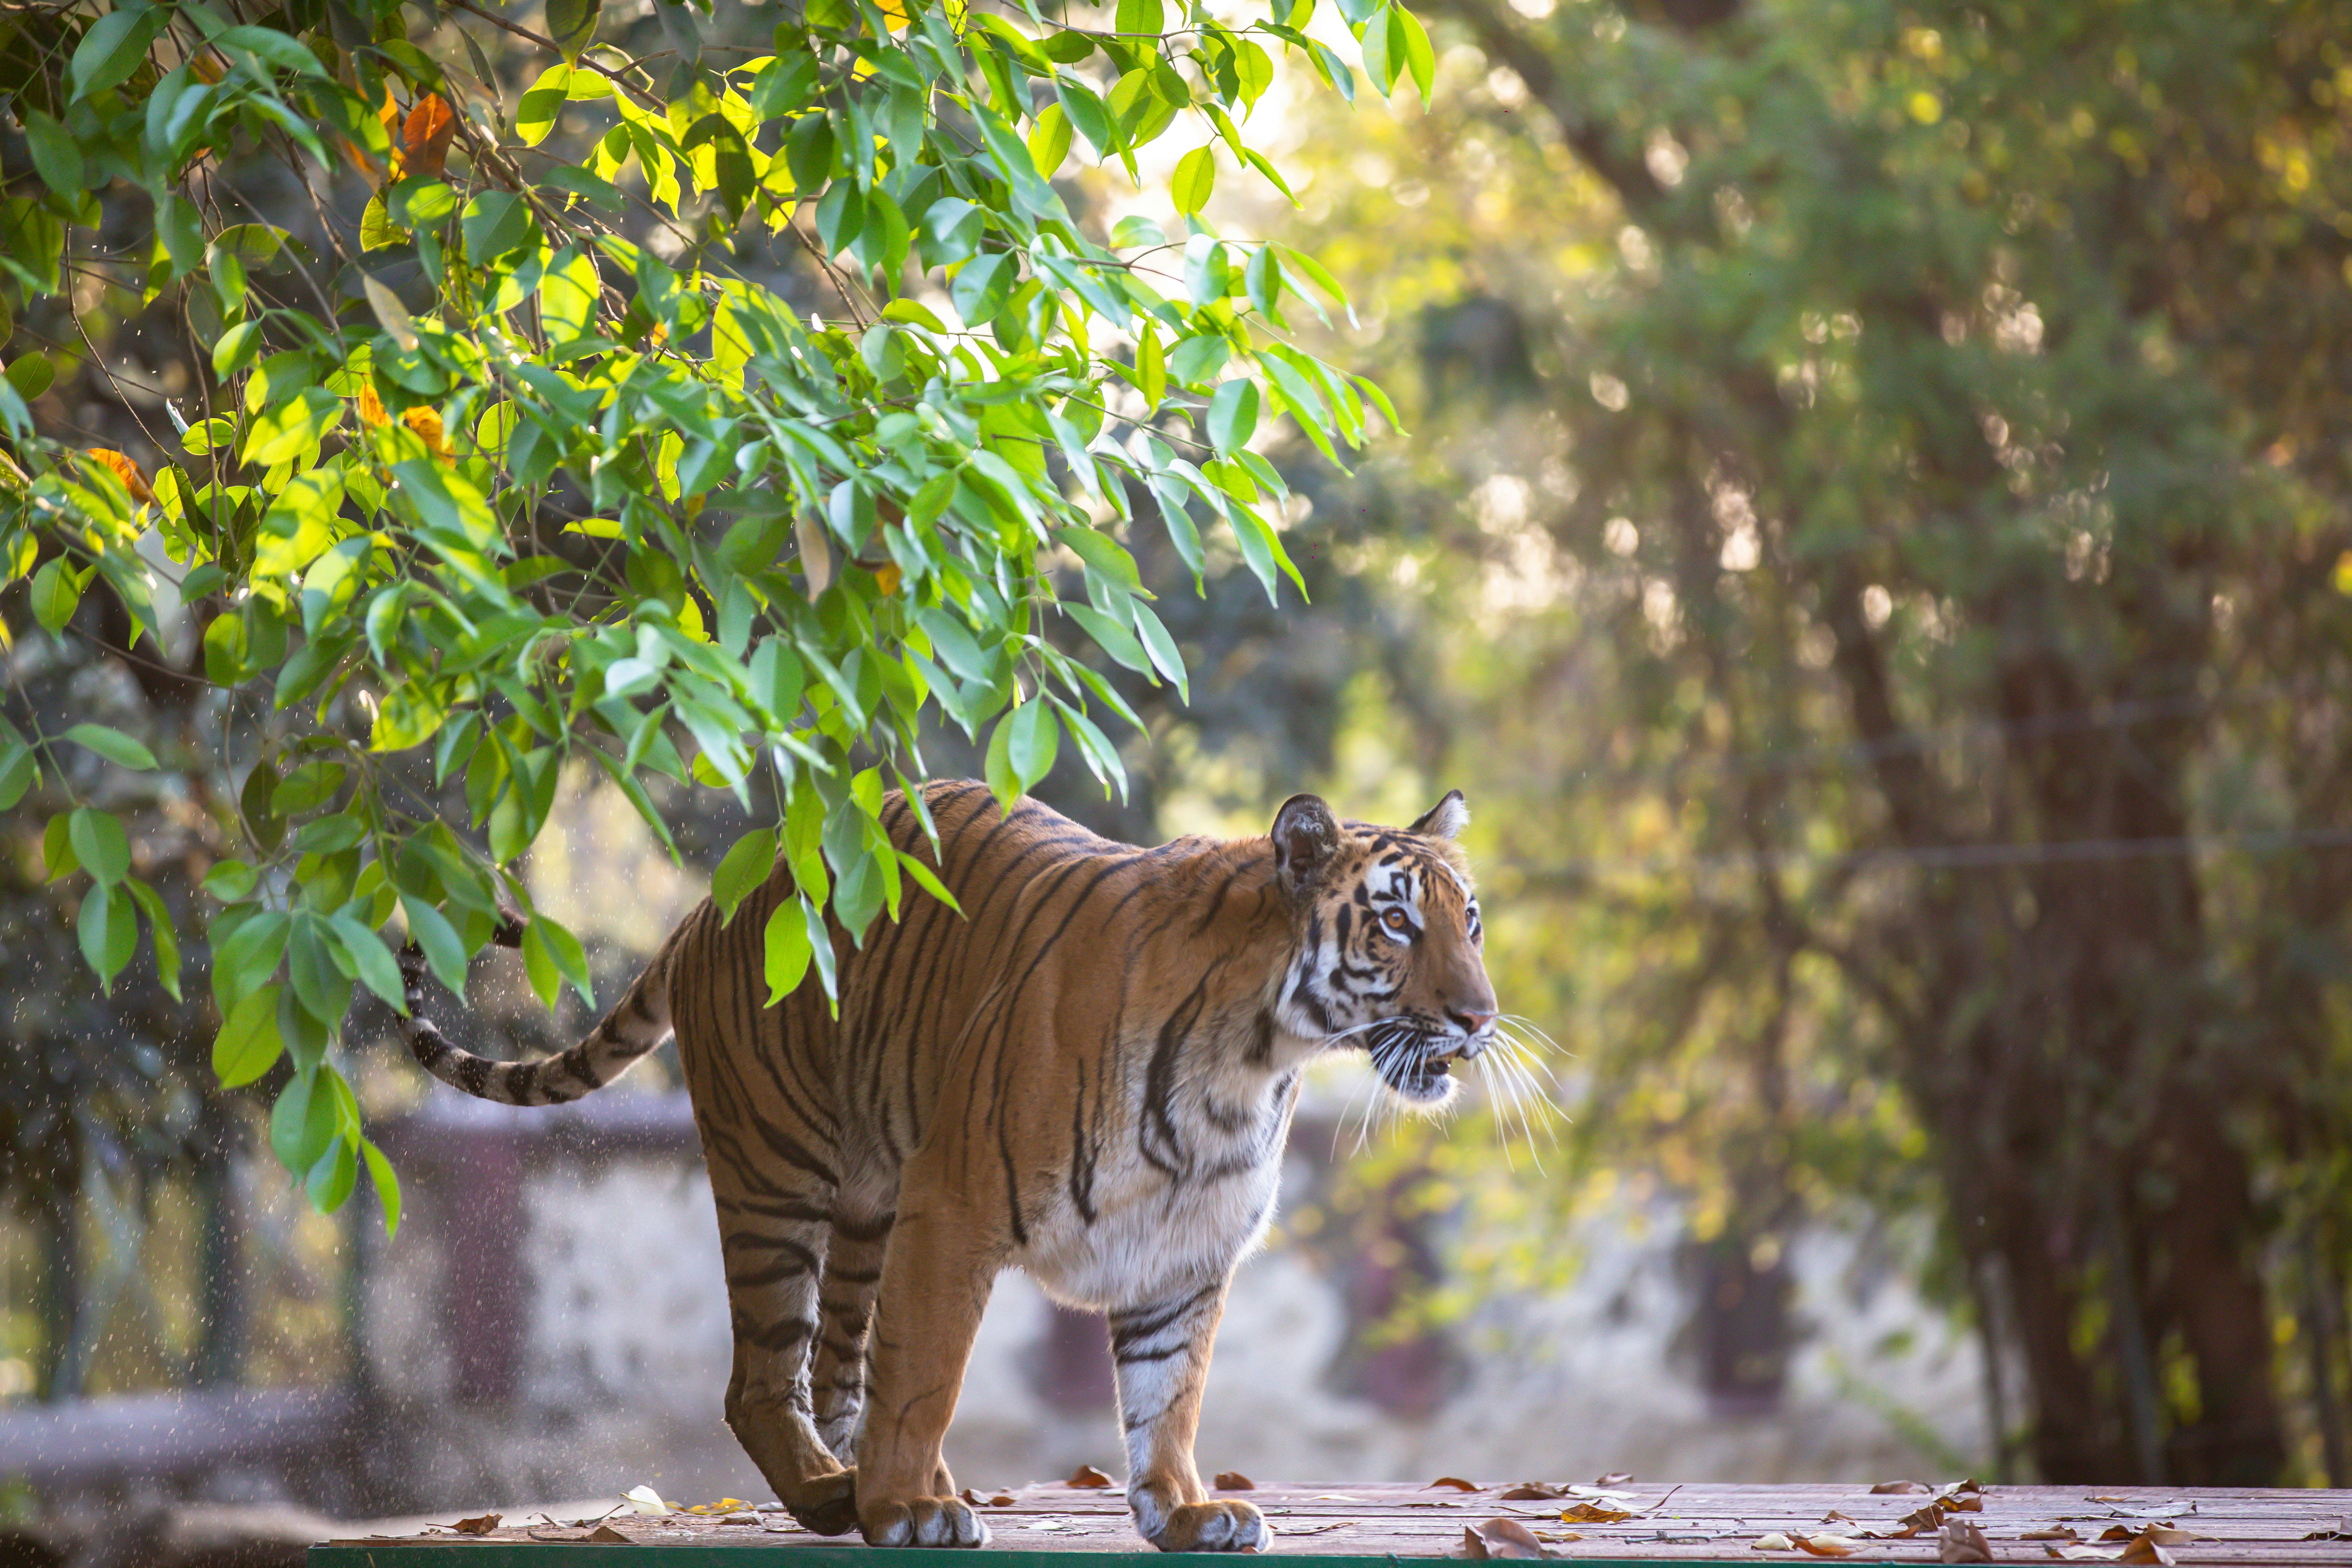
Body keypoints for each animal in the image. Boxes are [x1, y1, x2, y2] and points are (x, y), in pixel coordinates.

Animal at [397, 780, 1500, 1551]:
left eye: (1471, 921)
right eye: (1396, 921)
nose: (1481, 1017)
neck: (1259, 1059)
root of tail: (712, 903)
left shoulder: (1187, 1249)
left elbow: (1168, 1395)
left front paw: (1184, 1512)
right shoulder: (957, 1211)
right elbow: (928, 1374)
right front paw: (908, 1510)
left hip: (868, 1202)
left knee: (837, 1373)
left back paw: (847, 1485)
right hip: (778, 1175)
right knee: (762, 1379)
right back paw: (840, 1495)